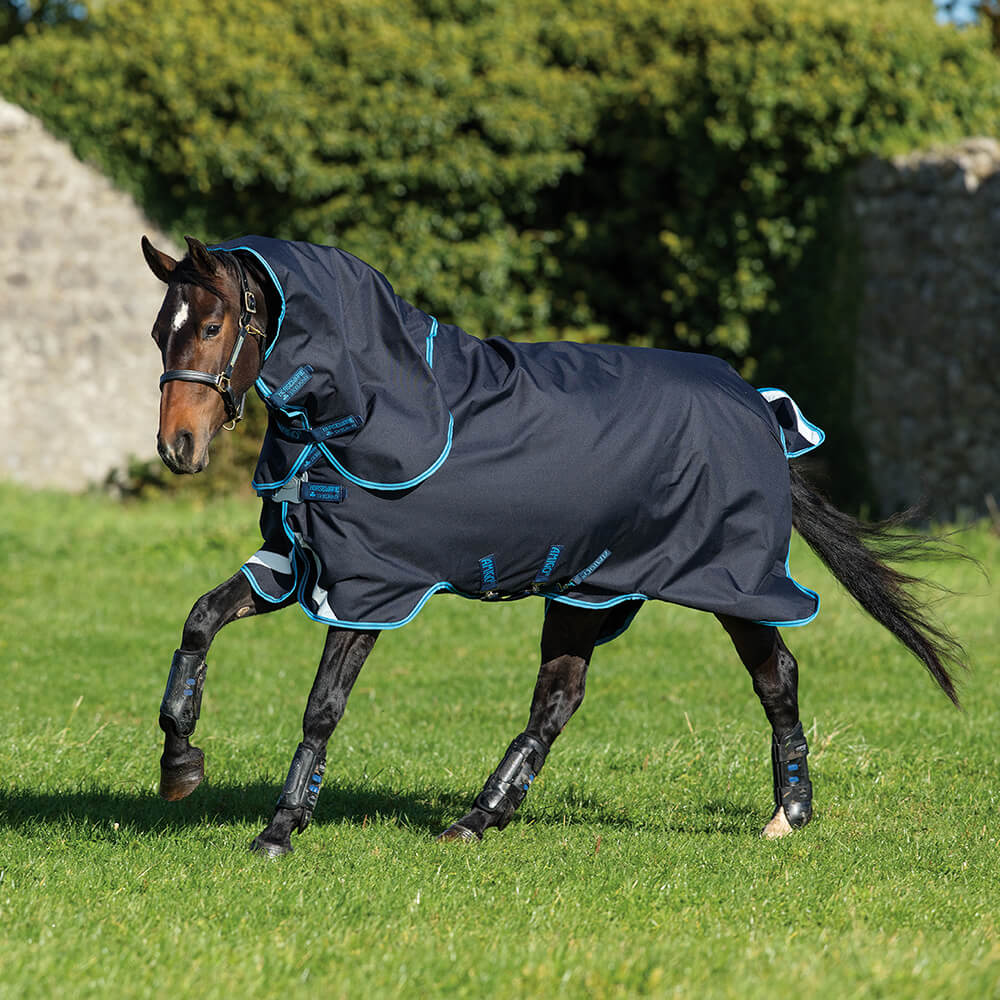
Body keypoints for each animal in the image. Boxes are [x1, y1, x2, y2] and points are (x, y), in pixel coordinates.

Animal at [142, 234, 966, 858]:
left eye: (211, 328)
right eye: (159, 332)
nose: (178, 448)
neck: (364, 408)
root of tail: (759, 406)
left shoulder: (370, 589)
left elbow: (322, 707)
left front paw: (280, 829)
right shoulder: (296, 564)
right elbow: (200, 621)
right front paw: (180, 765)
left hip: (729, 581)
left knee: (777, 677)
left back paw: (788, 815)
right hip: (586, 589)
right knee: (559, 698)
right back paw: (478, 818)